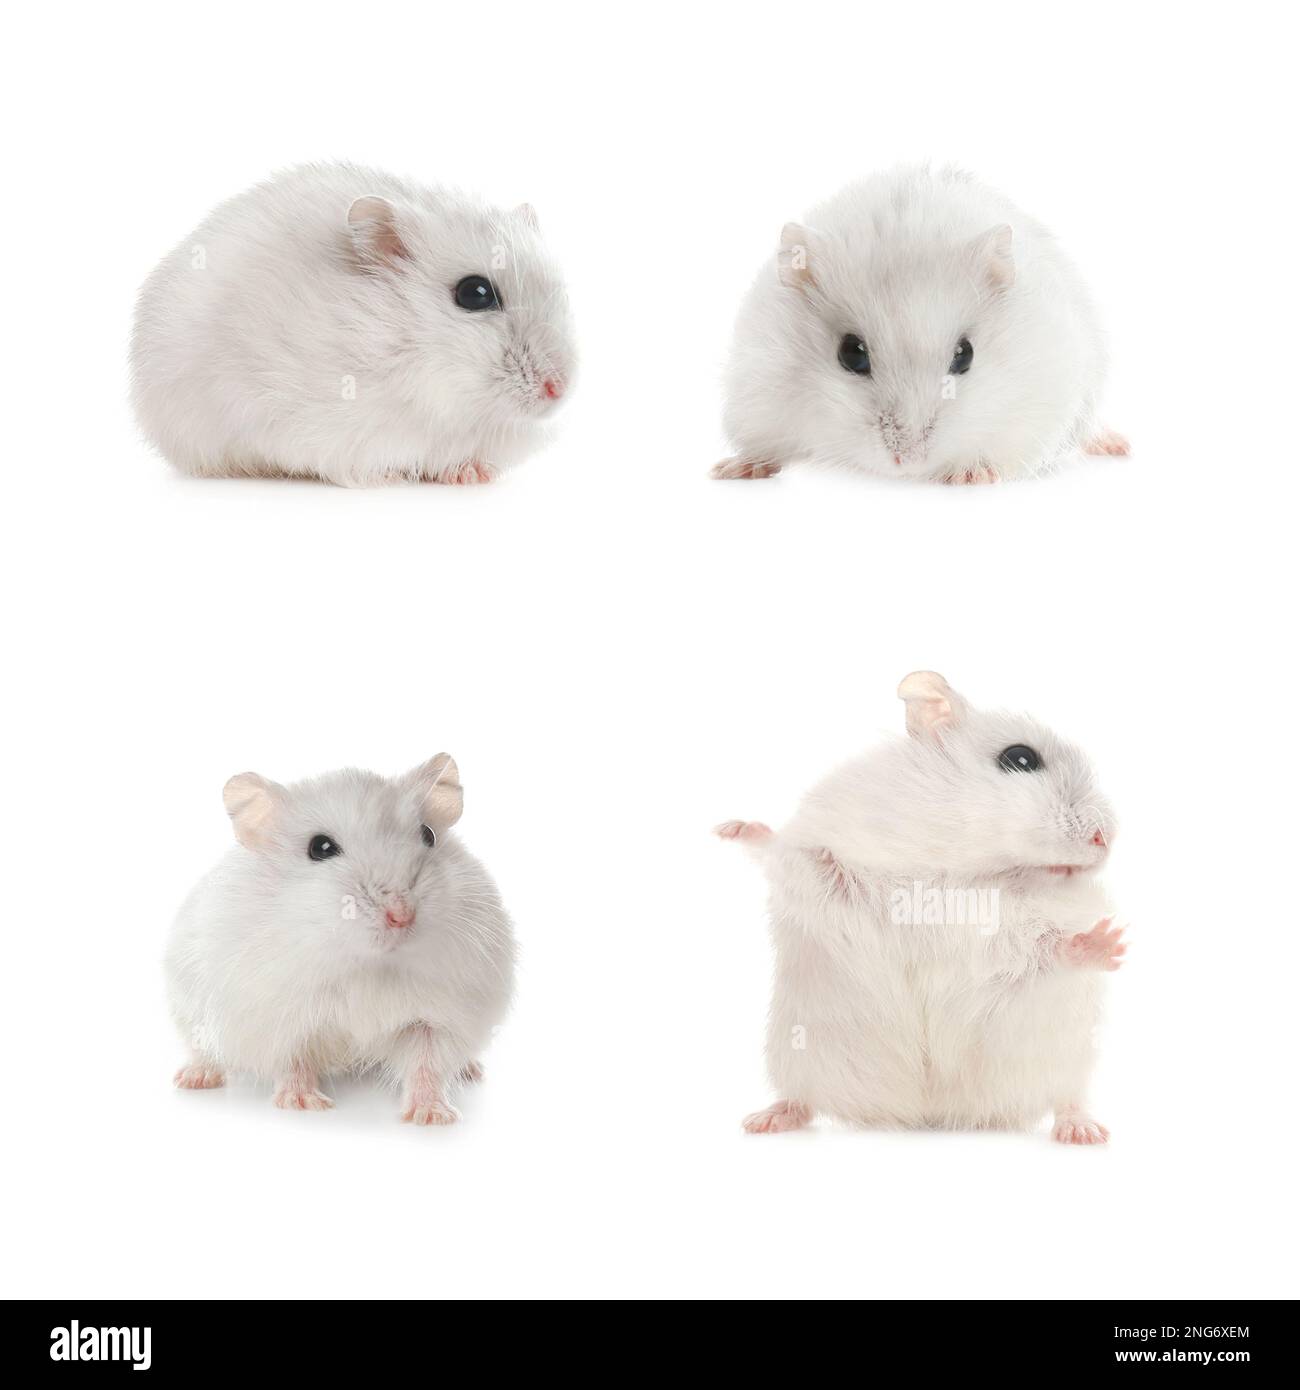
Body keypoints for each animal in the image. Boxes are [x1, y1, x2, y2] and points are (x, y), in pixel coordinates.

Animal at [166, 754, 515, 1124]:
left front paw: (433, 1117)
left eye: (428, 834)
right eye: (320, 848)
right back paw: (194, 1079)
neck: (366, 963)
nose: (402, 915)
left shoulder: (437, 1021)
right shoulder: (277, 1019)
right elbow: (293, 1062)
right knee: (202, 1050)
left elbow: (426, 1066)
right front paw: (305, 1104)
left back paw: (471, 1071)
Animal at [713, 165, 1128, 484]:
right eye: (851, 354)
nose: (908, 463)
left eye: (965, 355)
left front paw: (970, 476)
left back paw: (1118, 446)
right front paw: (734, 469)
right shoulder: (759, 394)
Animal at [718, 672, 1125, 1143]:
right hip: (799, 1054)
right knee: (803, 1098)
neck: (964, 867)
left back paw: (1084, 1132)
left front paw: (1110, 941)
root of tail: (928, 1114)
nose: (1106, 839)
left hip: (1064, 1059)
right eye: (1020, 758)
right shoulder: (838, 885)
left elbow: (1052, 947)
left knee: (1067, 1096)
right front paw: (731, 828)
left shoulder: (1018, 937)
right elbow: (800, 860)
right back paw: (764, 1121)